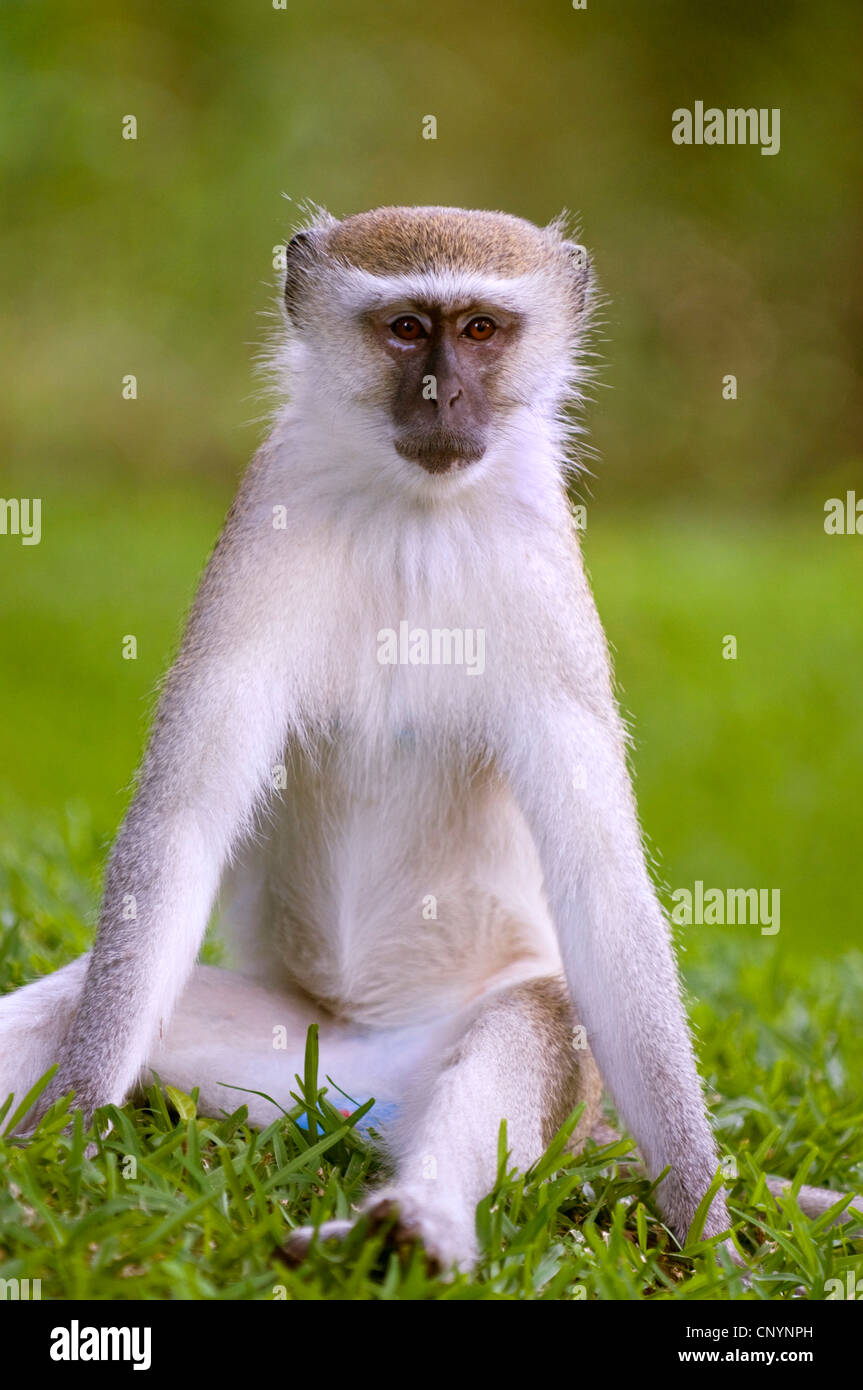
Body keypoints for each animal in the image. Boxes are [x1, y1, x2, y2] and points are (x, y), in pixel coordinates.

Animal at [0, 205, 855, 1271]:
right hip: (259, 1059)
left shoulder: (544, 573)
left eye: (481, 329)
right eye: (406, 329)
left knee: (537, 1016)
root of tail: (345, 1087)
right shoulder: (265, 524)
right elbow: (179, 831)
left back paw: (417, 1221)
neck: (417, 510)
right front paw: (76, 1135)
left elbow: (602, 894)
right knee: (73, 992)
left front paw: (703, 1223)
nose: (444, 392)